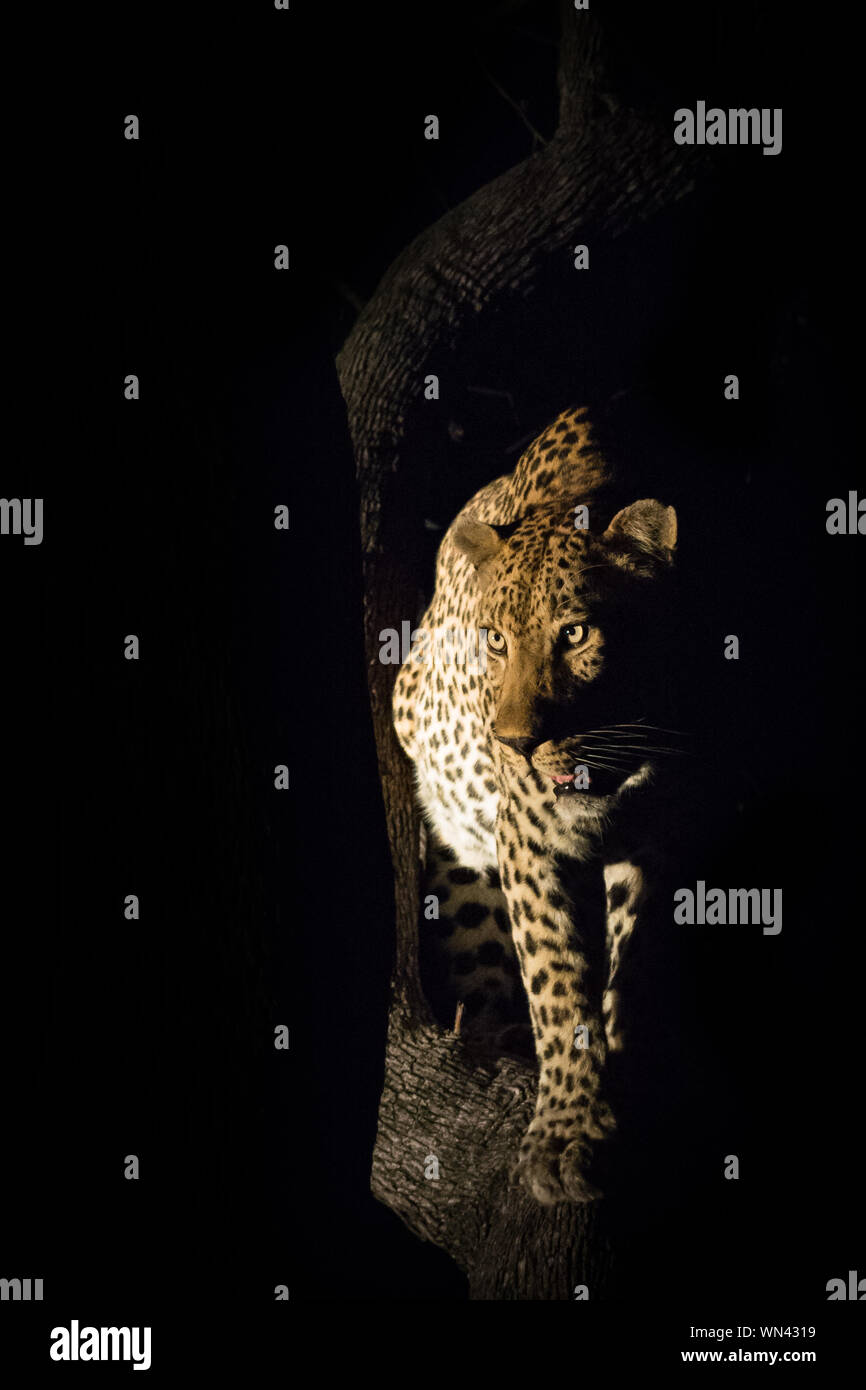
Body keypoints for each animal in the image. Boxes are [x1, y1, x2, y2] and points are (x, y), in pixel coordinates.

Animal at [393, 404, 686, 1206]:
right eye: (494, 640)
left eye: (577, 633)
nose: (519, 745)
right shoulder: (528, 840)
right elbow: (558, 982)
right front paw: (564, 1132)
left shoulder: (658, 833)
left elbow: (632, 967)